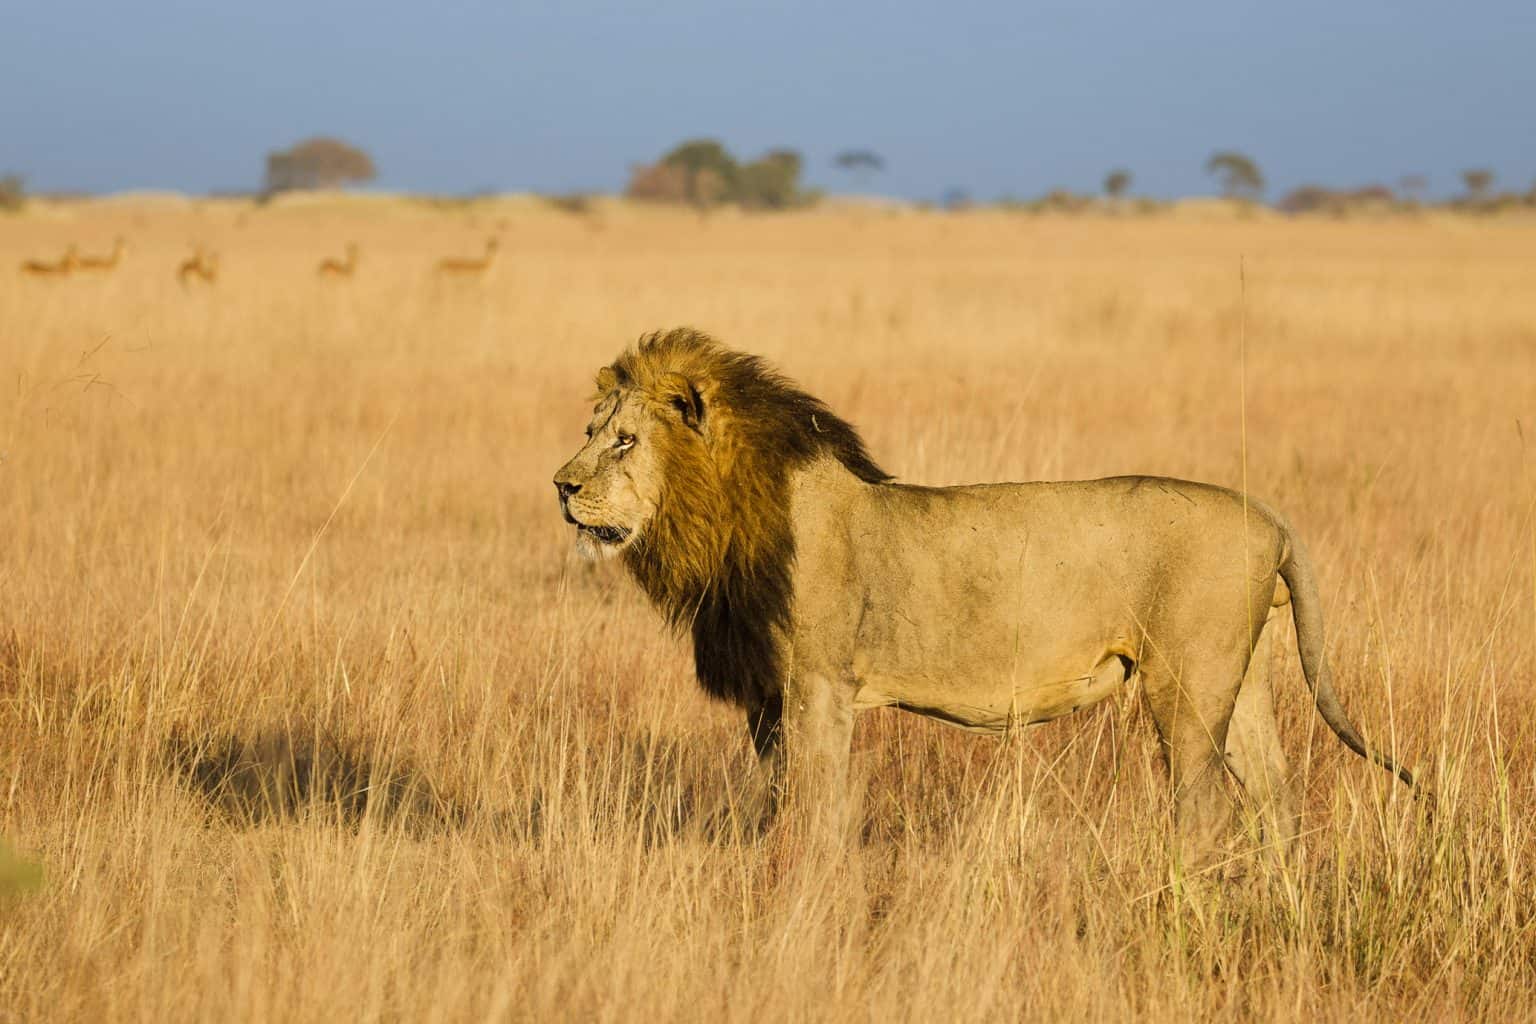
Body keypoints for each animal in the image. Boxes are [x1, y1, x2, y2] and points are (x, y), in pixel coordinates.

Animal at [553, 328, 1414, 859]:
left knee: (1205, 809)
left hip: (1185, 685)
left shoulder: (817, 685)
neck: (724, 520)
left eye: (623, 441)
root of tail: (1268, 515)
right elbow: (777, 803)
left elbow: (816, 809)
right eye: (592, 431)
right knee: (1276, 800)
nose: (561, 486)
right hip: (1245, 677)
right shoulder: (769, 700)